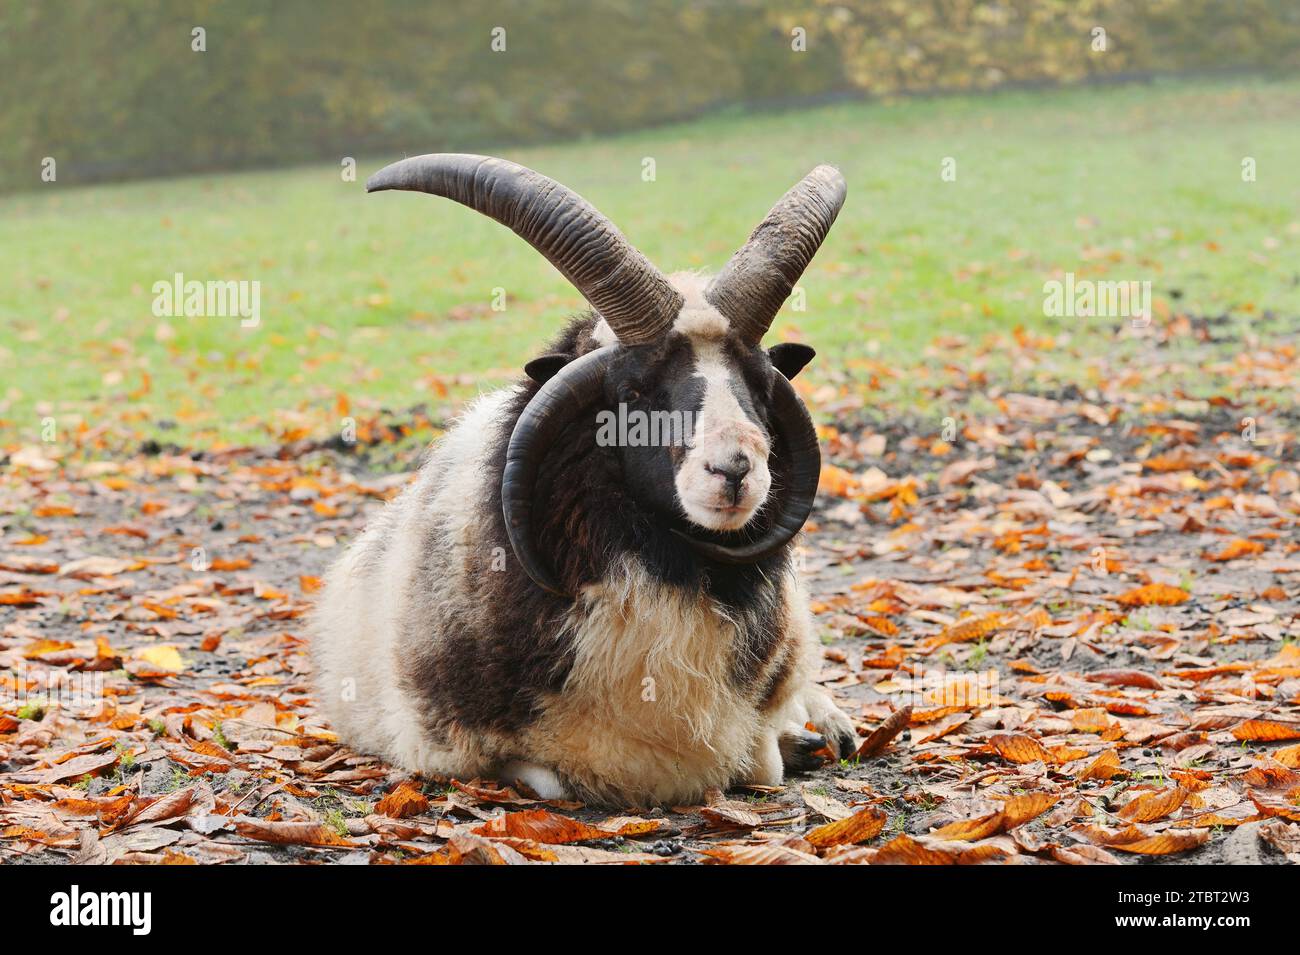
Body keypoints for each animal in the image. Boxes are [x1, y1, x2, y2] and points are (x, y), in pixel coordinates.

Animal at [312, 154, 855, 806]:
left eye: (758, 385)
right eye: (632, 393)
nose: (736, 470)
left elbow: (762, 762)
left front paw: (801, 737)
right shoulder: (452, 749)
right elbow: (557, 782)